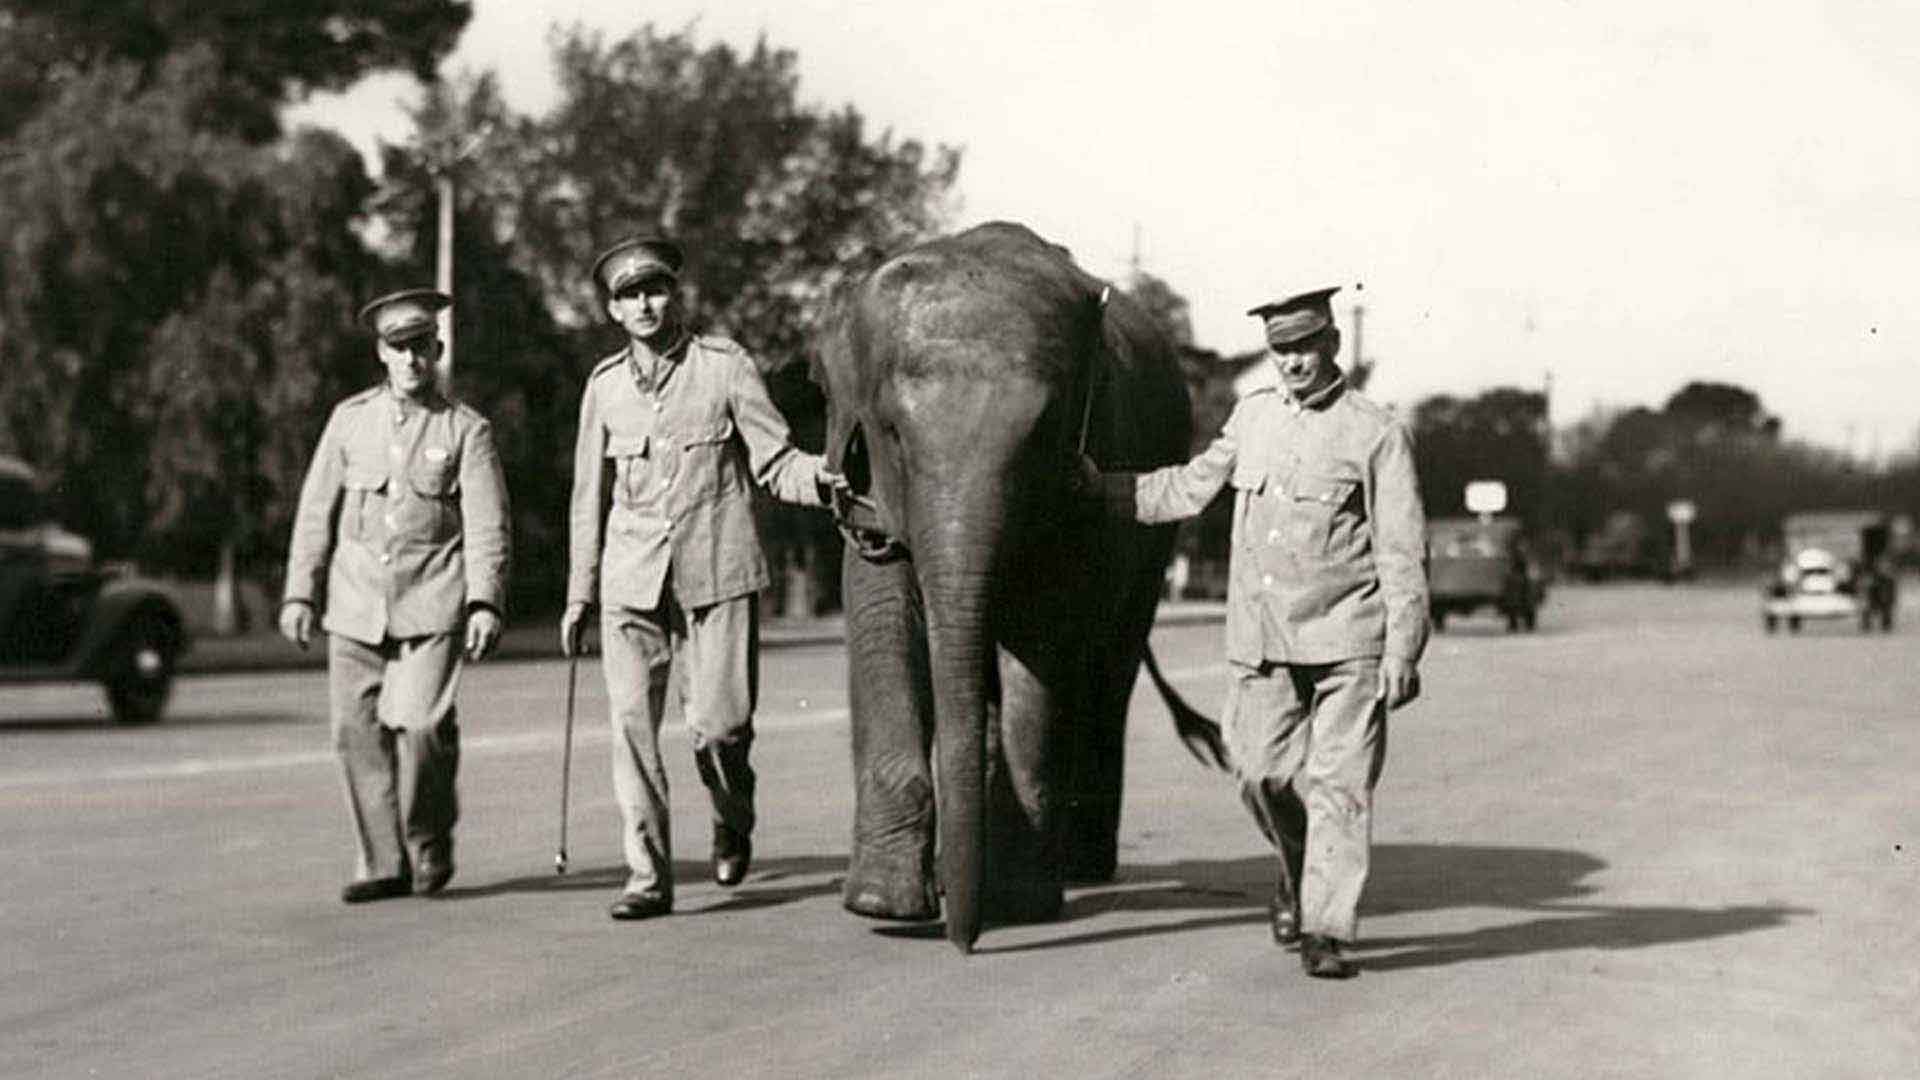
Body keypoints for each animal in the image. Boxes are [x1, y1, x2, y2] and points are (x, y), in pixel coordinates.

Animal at [810, 221, 1225, 953]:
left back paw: (1082, 865)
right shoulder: (862, 493)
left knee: (1107, 668)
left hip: (1154, 535)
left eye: (1045, 433)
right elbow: (883, 620)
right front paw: (883, 906)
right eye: (891, 433)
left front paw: (1018, 904)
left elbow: (1041, 638)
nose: (964, 944)